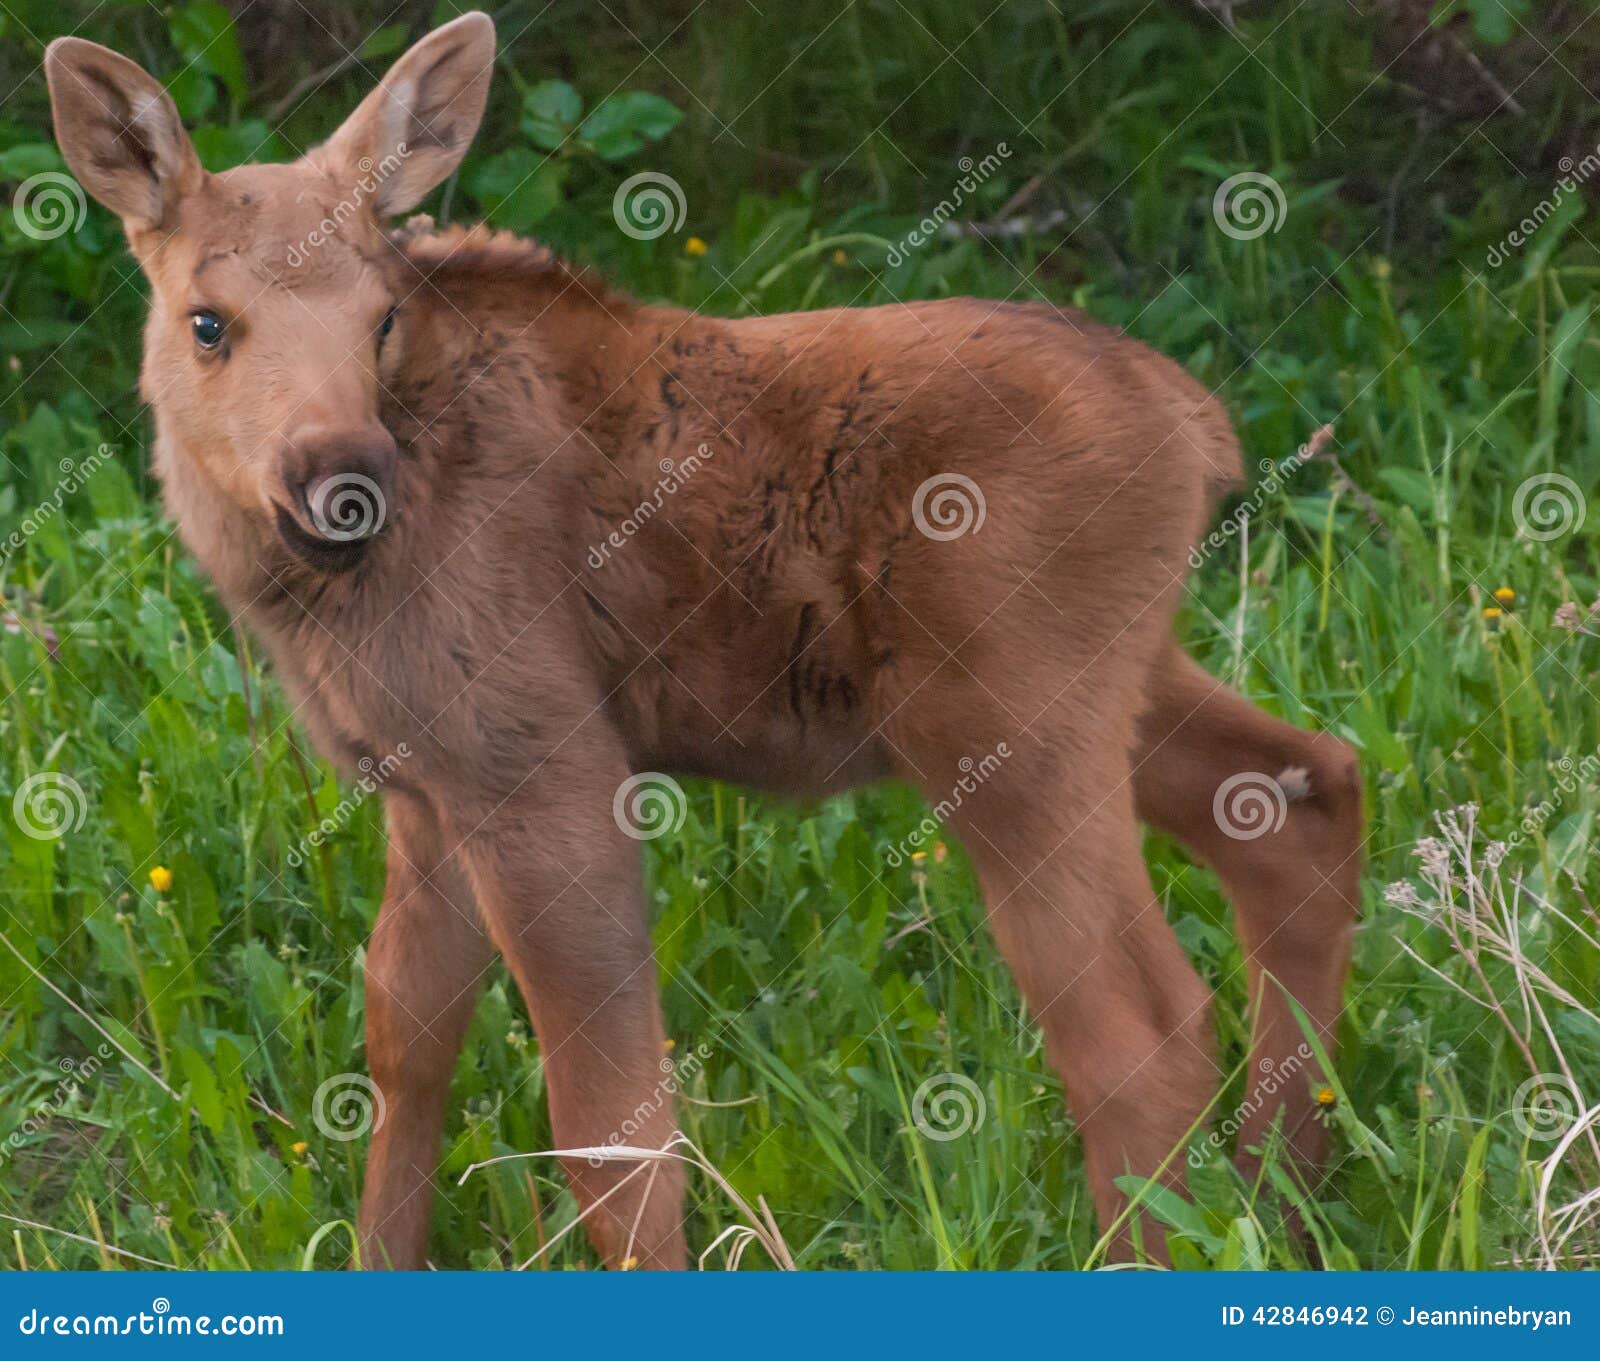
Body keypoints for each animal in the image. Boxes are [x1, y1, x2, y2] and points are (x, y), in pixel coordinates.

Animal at [44, 12, 1362, 1269]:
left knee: (1141, 1027)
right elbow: (406, 1053)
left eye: (381, 320)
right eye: (207, 322)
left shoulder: (546, 763)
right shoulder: (423, 786)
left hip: (1004, 720)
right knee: (1300, 793)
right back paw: (1282, 1203)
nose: (341, 480)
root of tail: (1201, 429)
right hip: (1110, 685)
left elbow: (610, 1131)